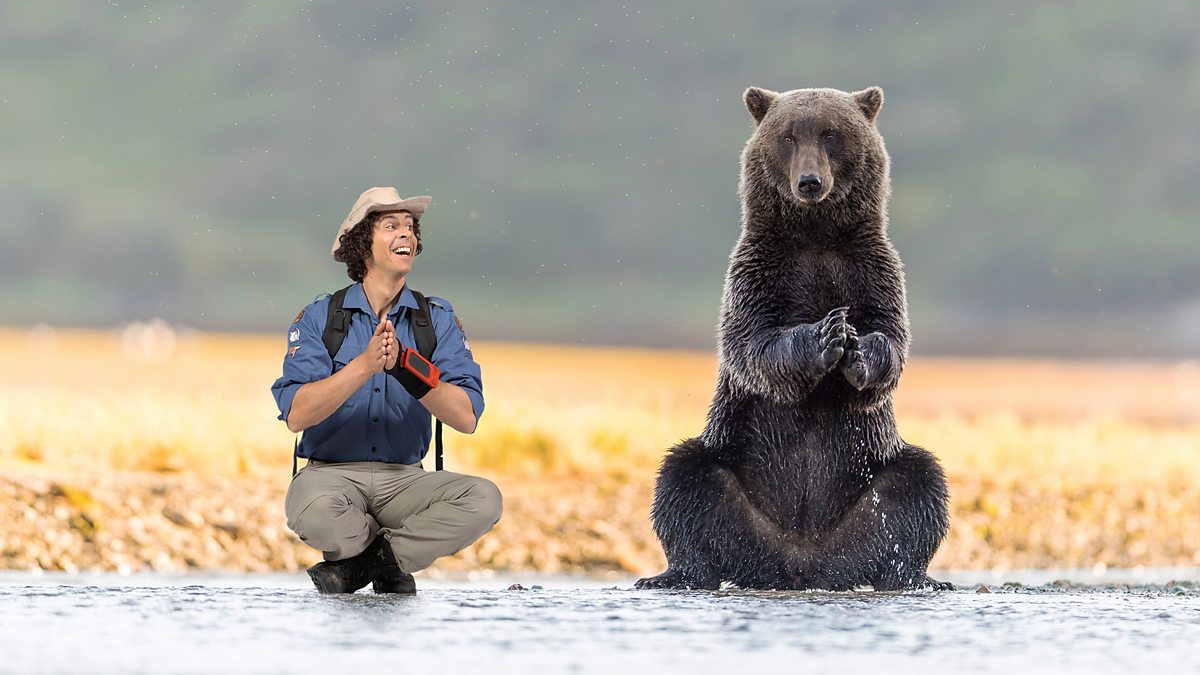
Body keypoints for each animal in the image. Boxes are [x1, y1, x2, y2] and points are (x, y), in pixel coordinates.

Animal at [636, 86, 950, 592]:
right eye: (787, 136)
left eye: (830, 133)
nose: (809, 182)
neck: (815, 237)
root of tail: (801, 562)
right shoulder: (762, 270)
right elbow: (755, 342)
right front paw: (827, 333)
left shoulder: (872, 270)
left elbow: (890, 339)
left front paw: (858, 350)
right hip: (730, 460)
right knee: (684, 481)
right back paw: (676, 573)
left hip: (873, 473)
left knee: (918, 487)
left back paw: (913, 576)